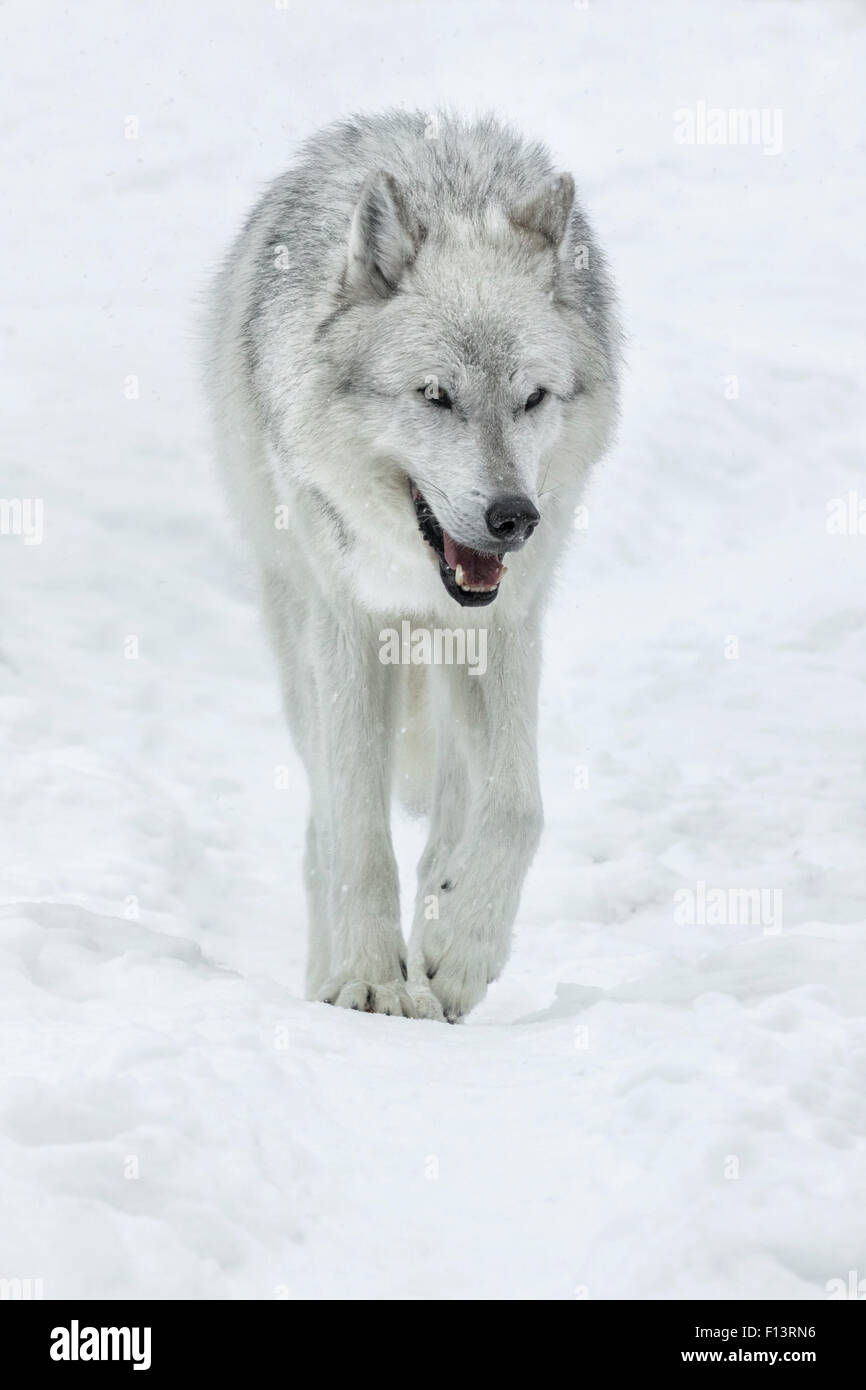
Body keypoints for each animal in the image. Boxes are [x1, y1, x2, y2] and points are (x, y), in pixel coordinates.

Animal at [206, 111, 619, 1021]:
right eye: (436, 396)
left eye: (532, 398)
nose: (514, 517)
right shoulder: (351, 630)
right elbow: (355, 829)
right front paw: (366, 976)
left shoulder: (505, 629)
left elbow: (518, 807)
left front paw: (459, 952)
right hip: (301, 638)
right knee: (323, 818)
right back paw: (334, 969)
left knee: (457, 808)